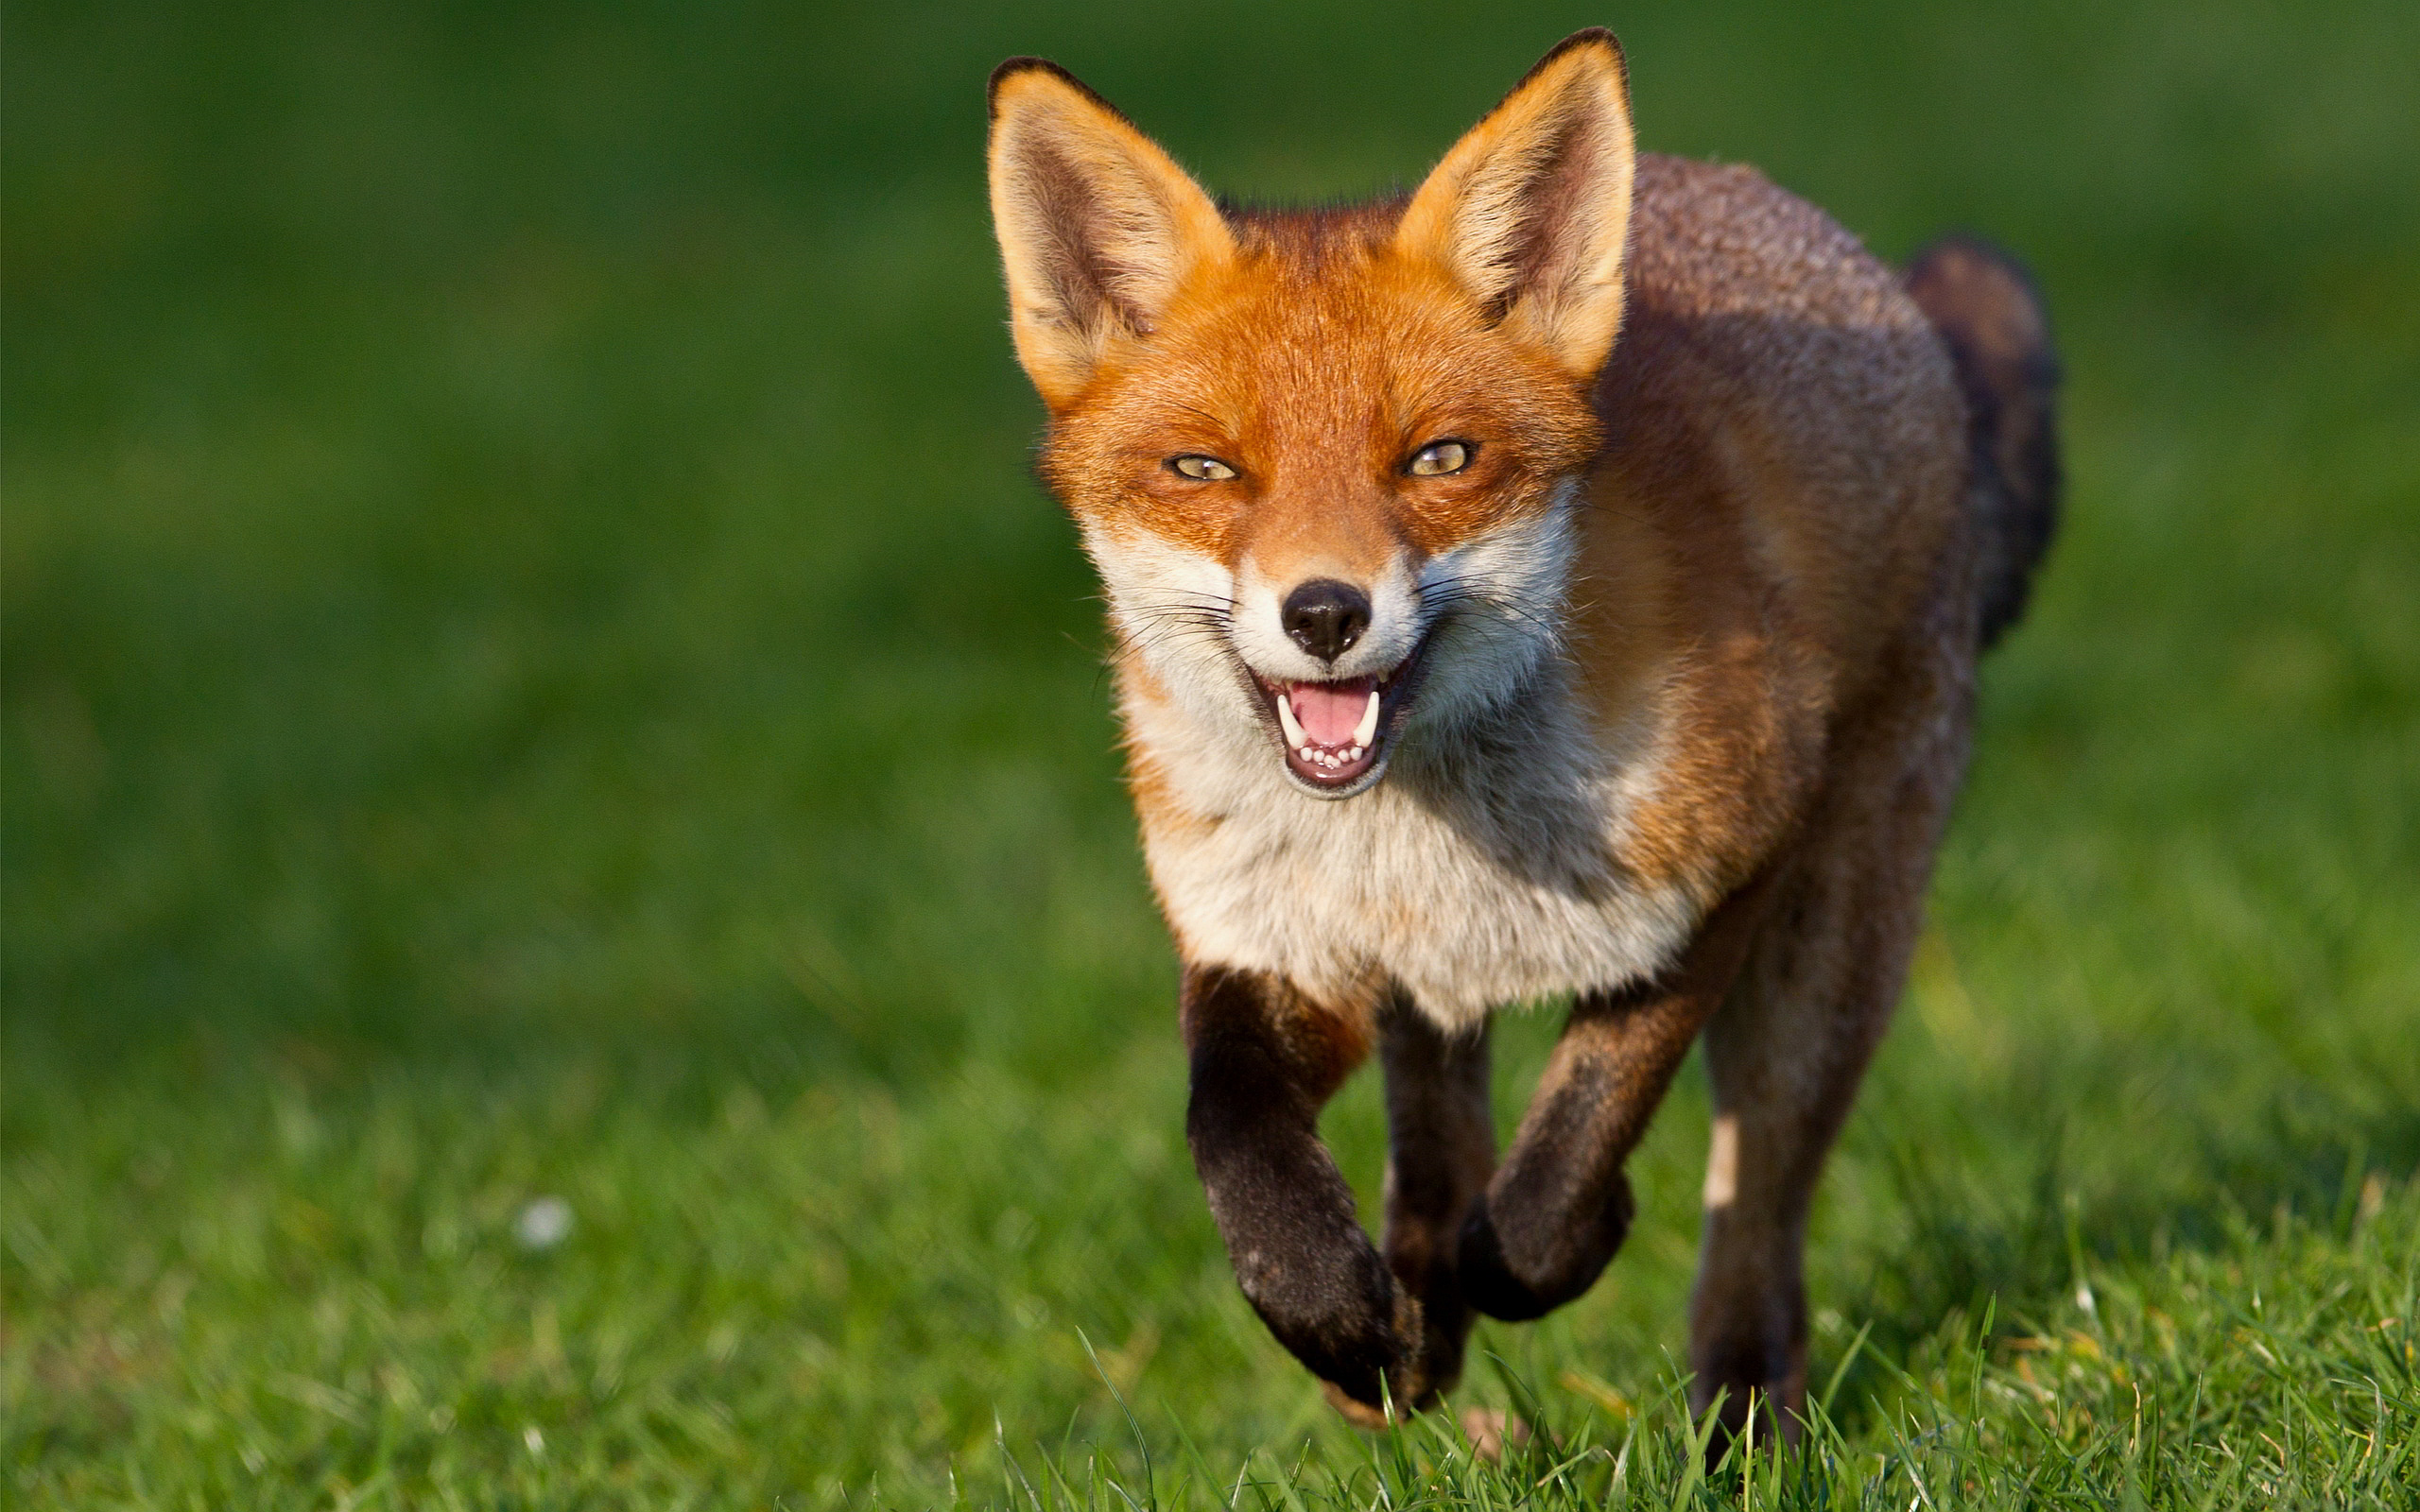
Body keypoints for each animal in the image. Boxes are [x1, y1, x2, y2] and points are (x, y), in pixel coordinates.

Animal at [984, 28, 2059, 1448]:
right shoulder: (1269, 943)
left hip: (1830, 957)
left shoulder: (1719, 877)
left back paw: (1740, 1414)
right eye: (1205, 471)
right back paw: (1414, 1327)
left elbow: (1562, 1165)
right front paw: (1336, 1315)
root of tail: (1846, 257)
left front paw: (1579, 1236)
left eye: (1439, 458)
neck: (1416, 837)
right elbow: (1235, 1140)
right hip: (1431, 998)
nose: (1324, 613)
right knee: (1434, 1146)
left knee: (1759, 1208)